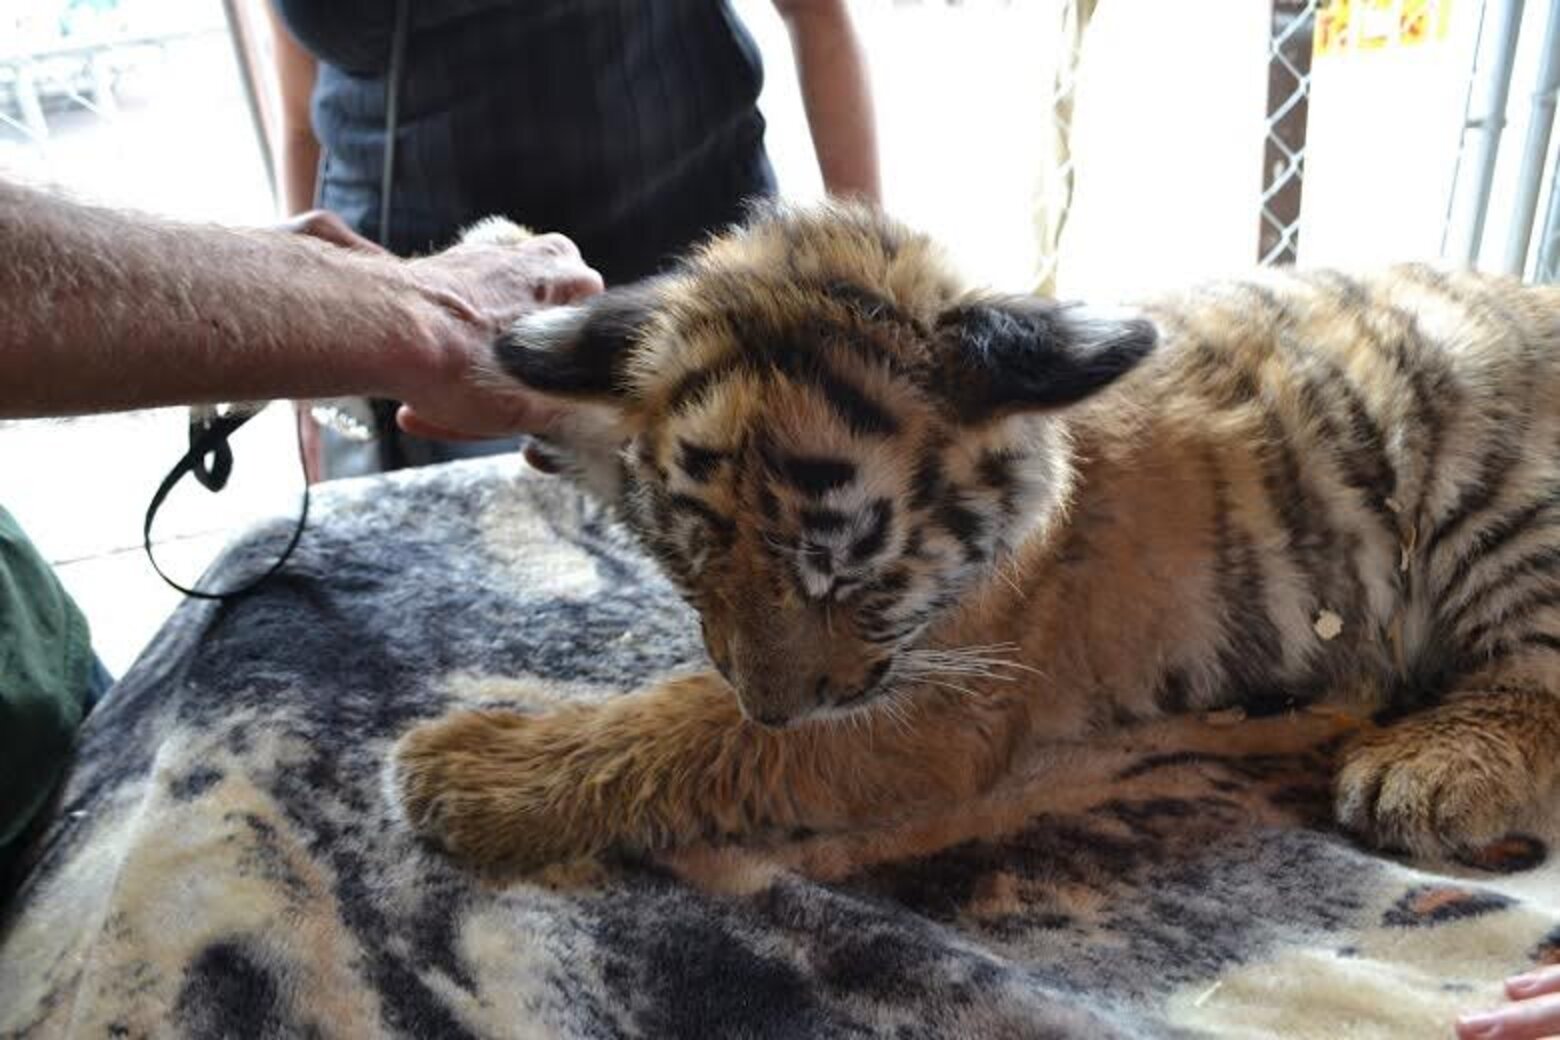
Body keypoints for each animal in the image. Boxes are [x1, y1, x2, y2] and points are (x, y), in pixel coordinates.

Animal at [390, 202, 1560, 873]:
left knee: (1535, 670)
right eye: (689, 559)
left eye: (849, 575)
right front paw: (501, 267)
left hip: (1501, 484)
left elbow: (693, 732)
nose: (772, 704)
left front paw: (470, 771)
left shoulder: (933, 709)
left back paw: (1431, 768)